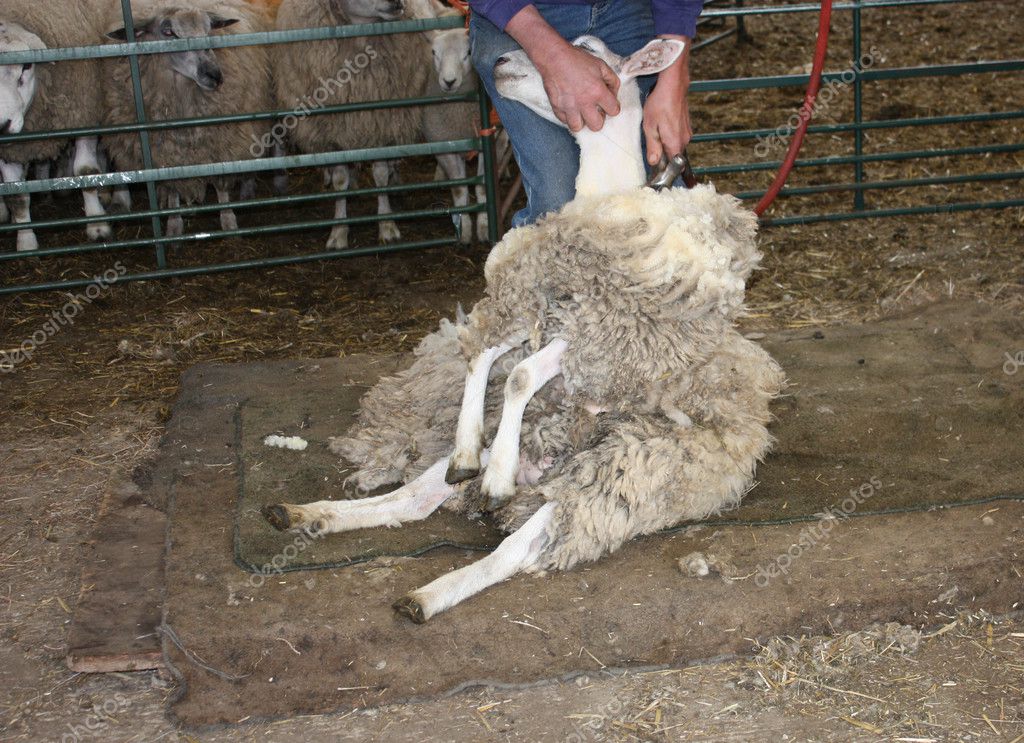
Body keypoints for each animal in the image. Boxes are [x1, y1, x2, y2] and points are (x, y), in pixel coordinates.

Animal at [0, 1, 113, 252]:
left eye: (27, 66)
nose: (2, 125)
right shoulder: (9, 150)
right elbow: (16, 195)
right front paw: (26, 241)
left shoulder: (83, 112)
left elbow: (86, 172)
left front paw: (97, 225)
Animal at [101, 0, 273, 239]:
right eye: (168, 32)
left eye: (209, 30)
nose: (215, 75)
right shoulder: (165, 155)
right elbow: (174, 187)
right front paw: (174, 225)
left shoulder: (222, 144)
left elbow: (221, 183)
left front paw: (228, 220)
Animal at [263, 36, 785, 623]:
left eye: (587, 48)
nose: (499, 62)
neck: (603, 196)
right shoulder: (533, 311)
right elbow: (486, 356)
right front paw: (469, 450)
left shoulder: (589, 335)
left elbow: (519, 376)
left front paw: (493, 473)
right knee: (412, 500)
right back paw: (312, 514)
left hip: (601, 485)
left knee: (514, 548)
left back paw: (434, 587)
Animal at [272, 0, 432, 249]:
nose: (397, 3)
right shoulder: (336, 132)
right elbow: (340, 180)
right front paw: (339, 231)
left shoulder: (381, 124)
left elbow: (380, 175)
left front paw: (387, 226)